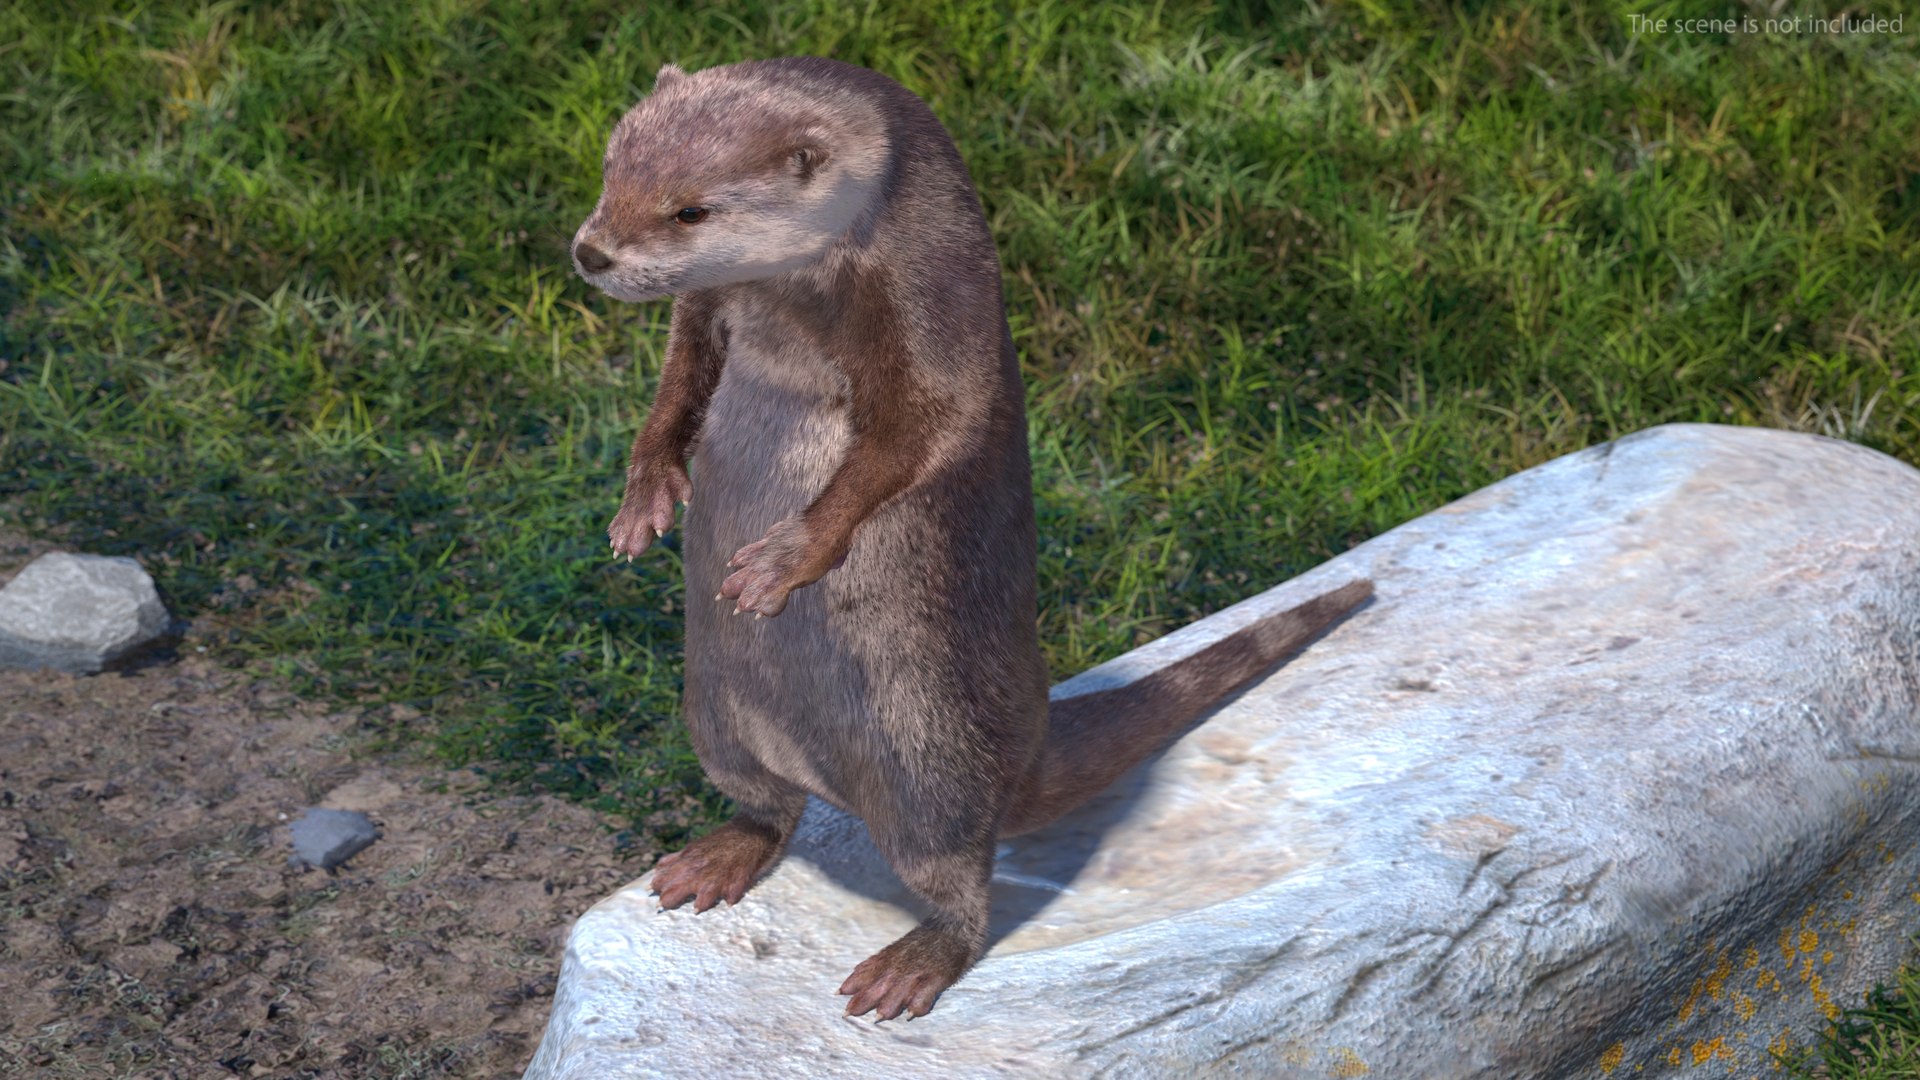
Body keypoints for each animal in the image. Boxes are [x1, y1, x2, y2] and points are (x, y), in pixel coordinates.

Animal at [571, 56, 1371, 1022]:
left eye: (690, 209)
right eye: (611, 168)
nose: (591, 252)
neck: (804, 297)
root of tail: (1025, 756)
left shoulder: (930, 302)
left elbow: (922, 432)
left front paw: (783, 560)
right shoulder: (709, 307)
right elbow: (679, 378)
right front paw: (643, 499)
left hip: (927, 761)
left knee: (963, 880)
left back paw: (909, 966)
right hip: (712, 711)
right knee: (770, 808)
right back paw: (718, 857)